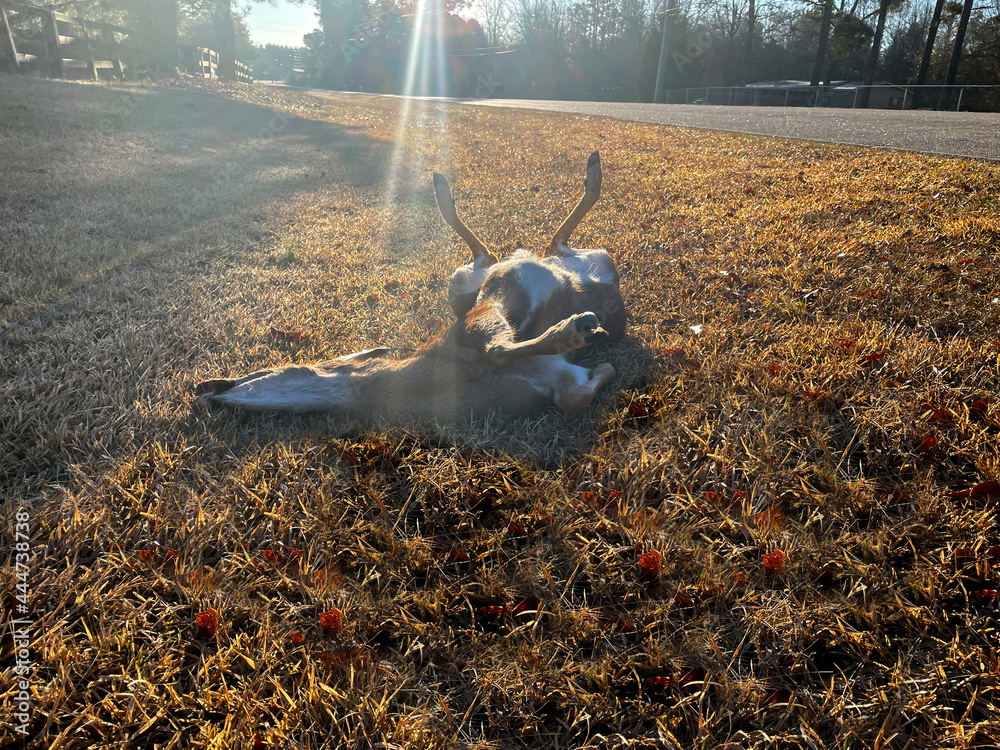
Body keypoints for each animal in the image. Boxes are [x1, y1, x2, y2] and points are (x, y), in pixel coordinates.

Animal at [195, 151, 626, 420]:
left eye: (278, 367)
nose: (210, 392)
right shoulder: (558, 379)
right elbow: (574, 391)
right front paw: (584, 343)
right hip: (488, 290)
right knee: (527, 262)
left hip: (480, 288)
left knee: (515, 256)